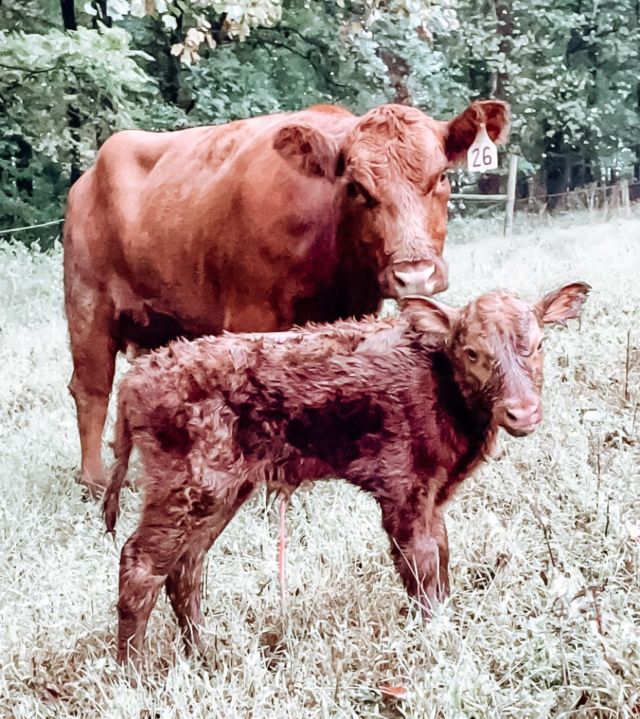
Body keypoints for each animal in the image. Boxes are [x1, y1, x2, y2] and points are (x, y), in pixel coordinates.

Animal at [63, 100, 510, 497]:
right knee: (91, 389)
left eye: (441, 178)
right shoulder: (250, 316)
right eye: (357, 188)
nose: (415, 273)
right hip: (88, 304)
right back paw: (94, 480)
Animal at [102, 281, 590, 666]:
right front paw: (437, 640)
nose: (523, 412)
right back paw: (134, 673)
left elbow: (443, 556)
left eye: (539, 344)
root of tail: (135, 378)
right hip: (189, 484)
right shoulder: (403, 489)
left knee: (186, 566)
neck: (442, 387)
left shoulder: (433, 494)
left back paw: (204, 654)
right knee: (141, 563)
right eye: (472, 352)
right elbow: (421, 568)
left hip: (221, 488)